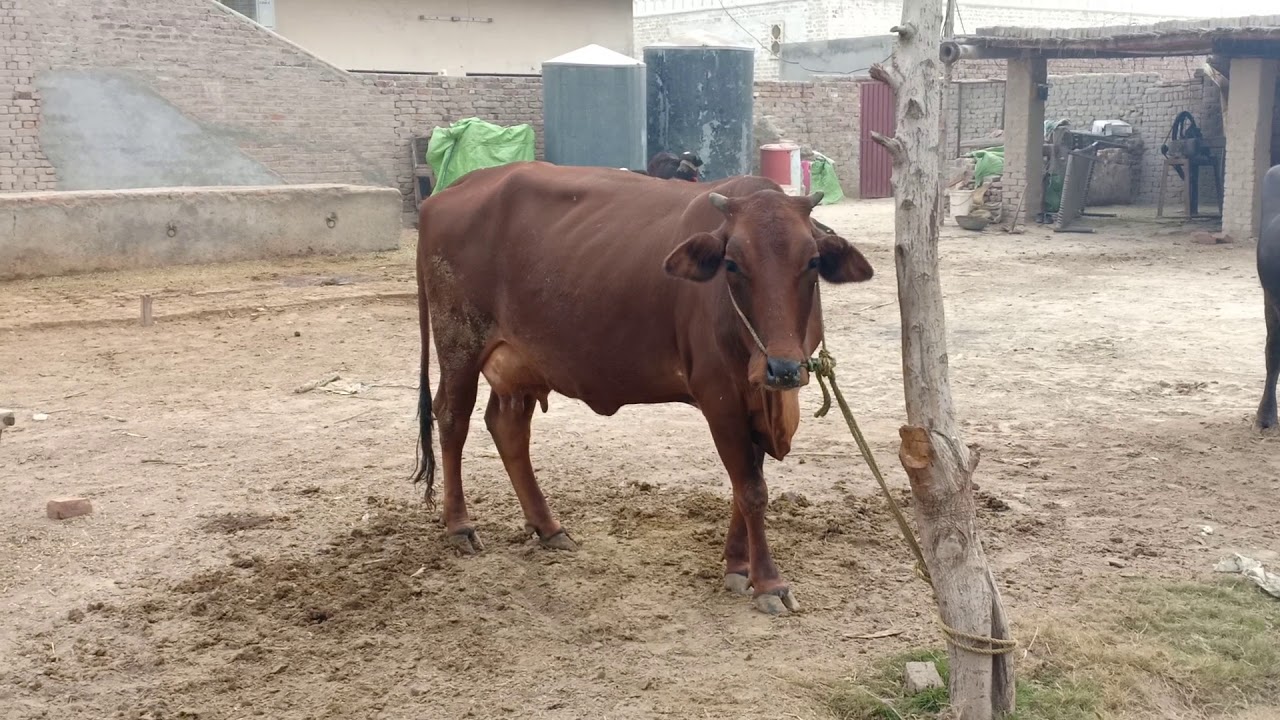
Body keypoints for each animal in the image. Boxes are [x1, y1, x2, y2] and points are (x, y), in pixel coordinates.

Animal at [412, 161, 874, 614]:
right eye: (732, 264)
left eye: (812, 261)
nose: (783, 368)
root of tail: (447, 192)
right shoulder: (720, 396)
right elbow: (751, 490)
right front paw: (768, 582)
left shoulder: (755, 400)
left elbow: (746, 484)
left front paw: (738, 564)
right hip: (459, 342)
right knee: (452, 420)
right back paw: (460, 525)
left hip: (519, 363)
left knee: (508, 428)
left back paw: (547, 526)